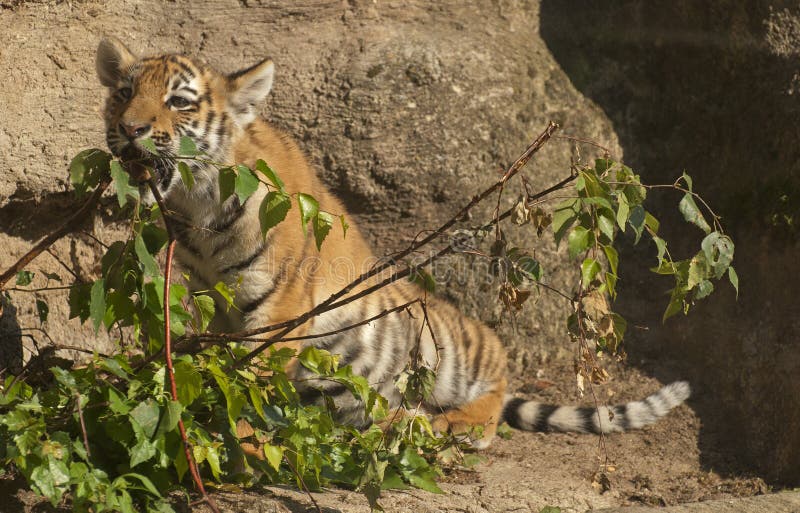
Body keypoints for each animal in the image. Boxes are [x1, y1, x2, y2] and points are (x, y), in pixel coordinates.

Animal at [95, 37, 691, 449]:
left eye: (178, 101)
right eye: (124, 93)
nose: (129, 129)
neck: (196, 206)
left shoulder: (277, 308)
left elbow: (251, 379)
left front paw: (239, 440)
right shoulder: (208, 300)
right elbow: (212, 367)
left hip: (444, 347)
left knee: (495, 391)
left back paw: (455, 424)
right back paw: (408, 421)